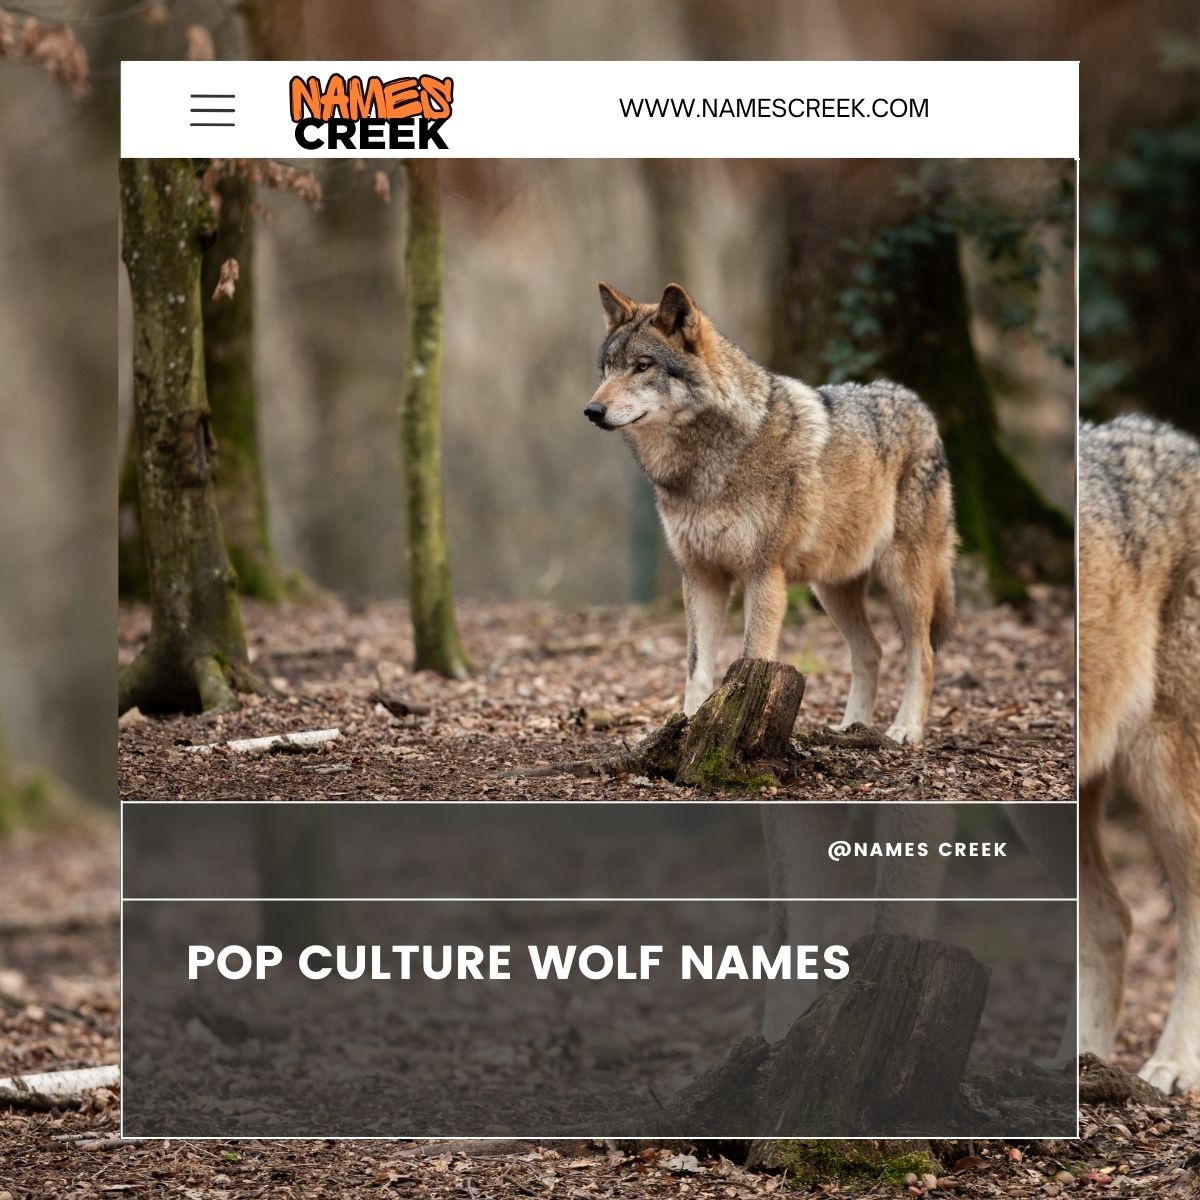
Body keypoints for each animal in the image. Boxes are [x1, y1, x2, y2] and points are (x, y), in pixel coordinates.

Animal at [587, 282, 957, 745]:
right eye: (607, 368)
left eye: (642, 367)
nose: (592, 411)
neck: (706, 464)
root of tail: (918, 404)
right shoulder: (701, 575)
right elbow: (696, 669)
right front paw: (687, 728)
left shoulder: (763, 575)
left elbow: (749, 658)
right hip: (831, 588)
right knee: (871, 651)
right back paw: (850, 728)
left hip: (903, 581)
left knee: (923, 655)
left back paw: (905, 729)